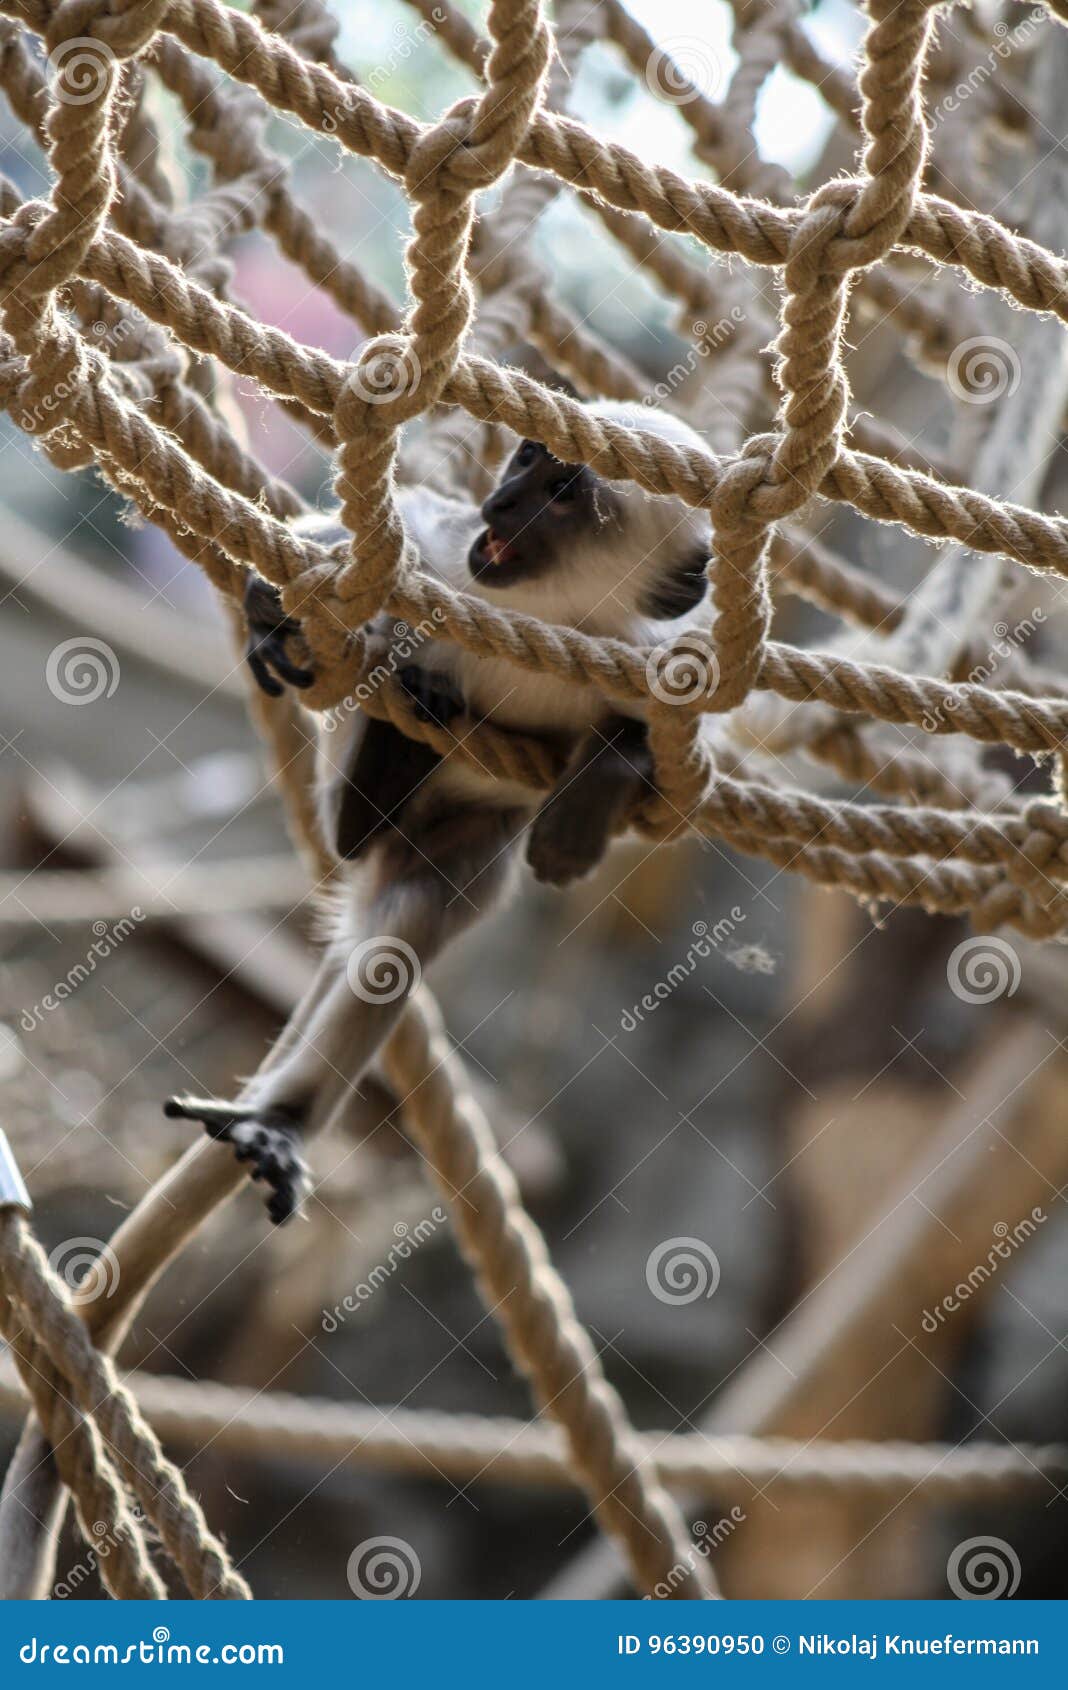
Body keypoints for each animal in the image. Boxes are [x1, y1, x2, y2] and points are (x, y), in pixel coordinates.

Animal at [165, 403, 714, 1224]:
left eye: (563, 497)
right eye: (529, 460)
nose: (505, 503)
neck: (543, 612)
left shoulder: (639, 651)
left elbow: (674, 776)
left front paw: (599, 786)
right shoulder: (453, 557)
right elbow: (386, 539)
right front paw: (271, 611)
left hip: (459, 838)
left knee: (412, 919)